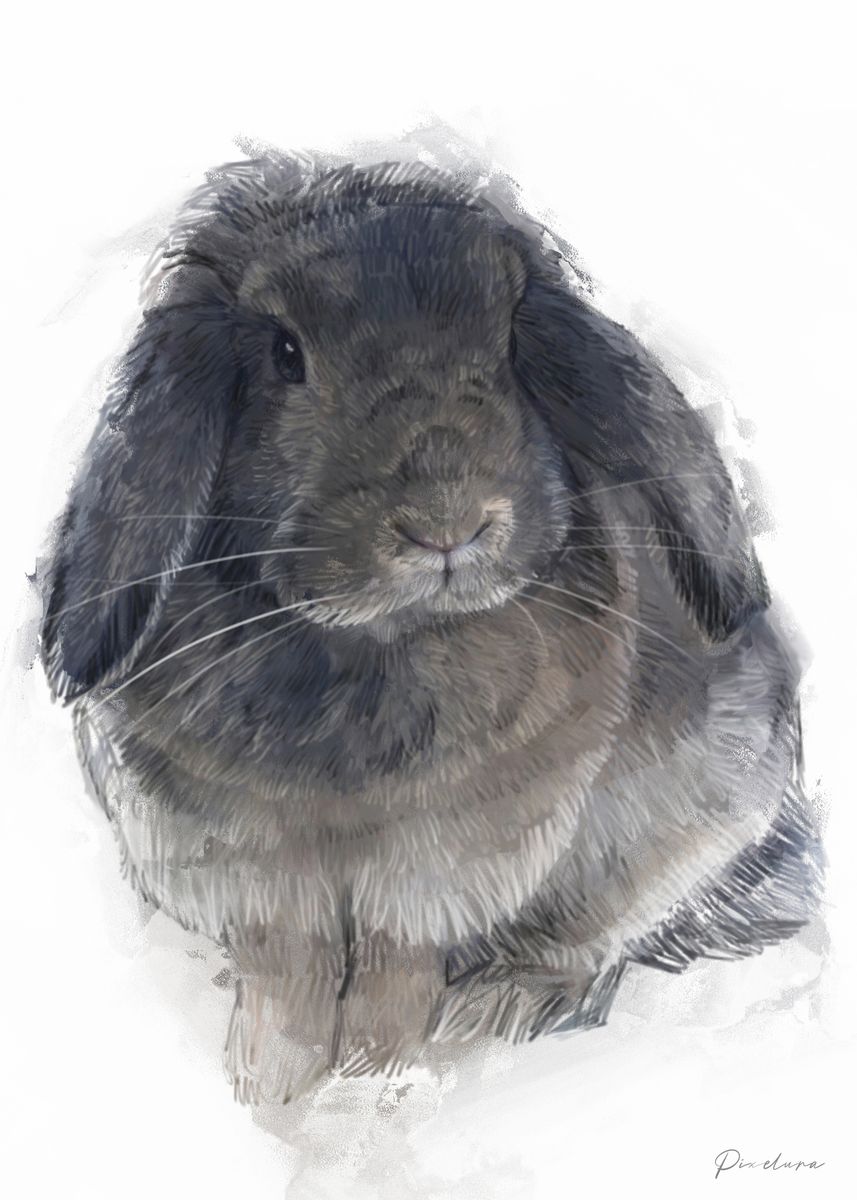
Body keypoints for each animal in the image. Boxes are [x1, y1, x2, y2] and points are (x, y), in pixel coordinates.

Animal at [39, 153, 823, 1102]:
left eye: (508, 346)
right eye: (285, 355)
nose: (447, 524)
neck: (374, 648)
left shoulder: (437, 877)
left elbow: (390, 985)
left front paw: (370, 1088)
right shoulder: (253, 882)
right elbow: (288, 988)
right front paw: (272, 1088)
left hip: (697, 815)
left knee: (595, 940)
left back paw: (501, 1004)